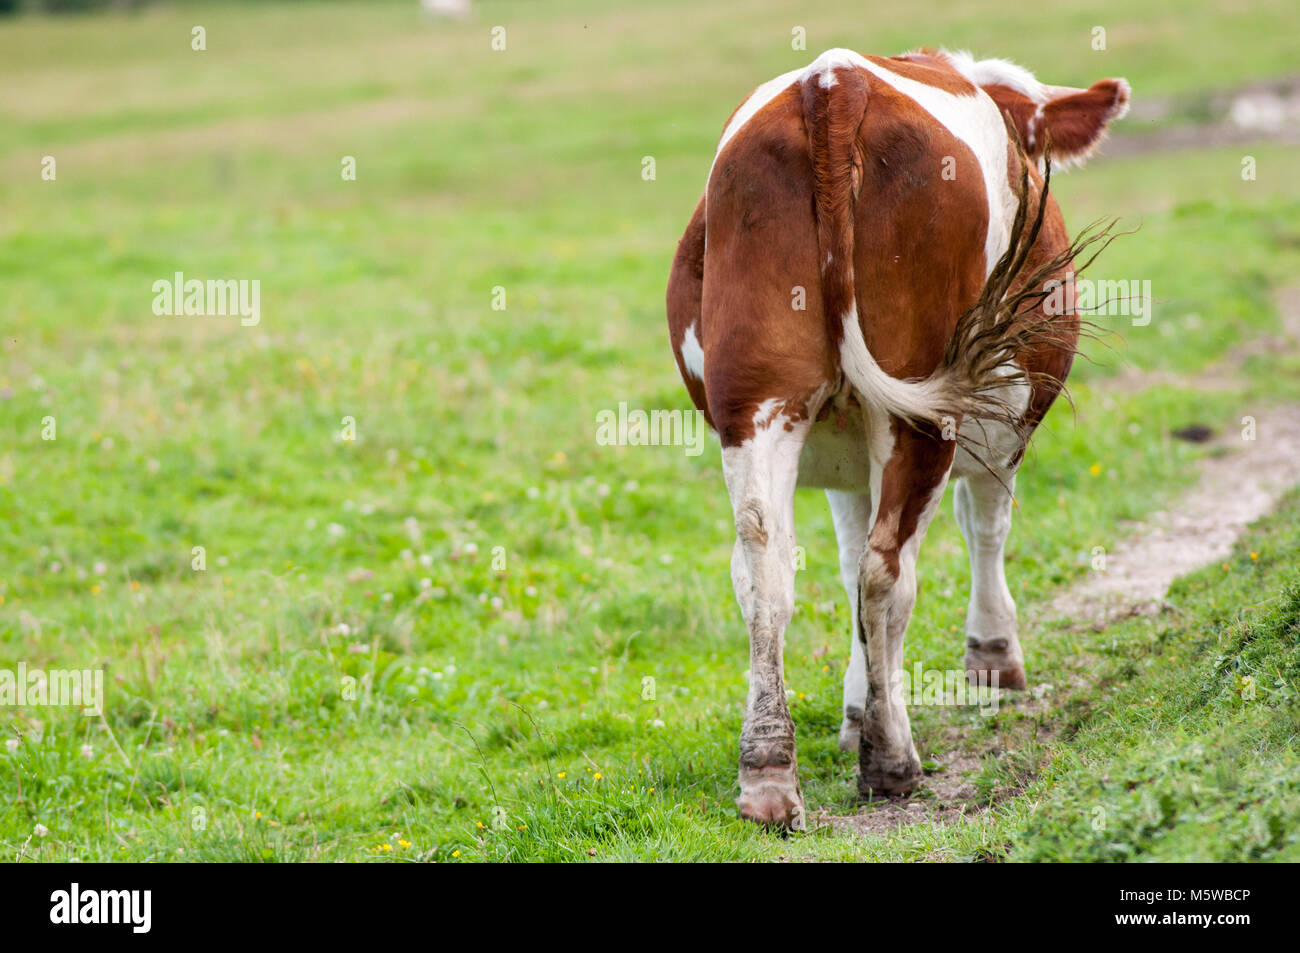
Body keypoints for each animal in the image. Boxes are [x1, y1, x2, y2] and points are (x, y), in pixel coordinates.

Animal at [666, 48, 1129, 829]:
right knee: (888, 572)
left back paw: (768, 775)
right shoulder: (1000, 431)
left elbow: (844, 557)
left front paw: (854, 709)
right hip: (923, 412)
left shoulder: (845, 458)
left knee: (765, 566)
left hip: (757, 399)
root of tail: (834, 82)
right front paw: (992, 657)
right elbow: (984, 525)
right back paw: (891, 760)